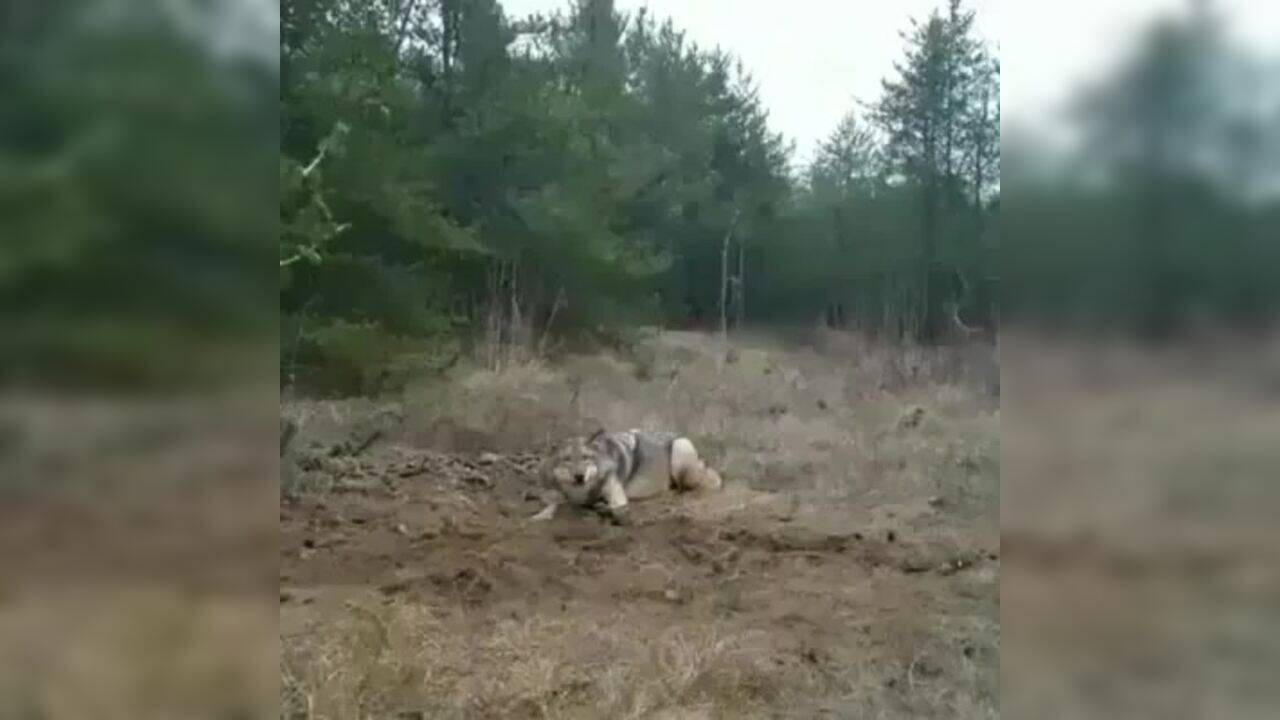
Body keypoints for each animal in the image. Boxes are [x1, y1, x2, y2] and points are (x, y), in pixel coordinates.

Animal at [533, 429, 723, 524]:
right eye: (567, 459)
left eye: (586, 458)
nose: (579, 476)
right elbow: (555, 502)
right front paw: (540, 516)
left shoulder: (617, 497)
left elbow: (615, 508)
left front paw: (602, 508)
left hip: (680, 450)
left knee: (684, 488)